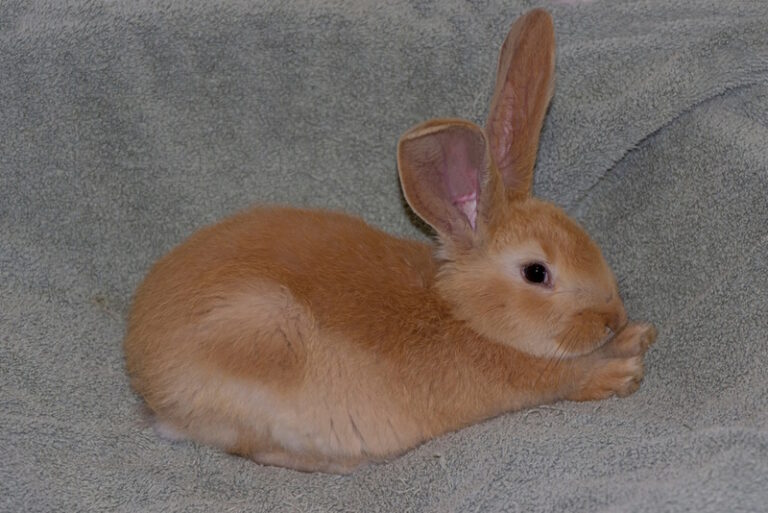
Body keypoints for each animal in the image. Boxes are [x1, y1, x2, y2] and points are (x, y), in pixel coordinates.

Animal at [124, 8, 656, 474]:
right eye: (536, 272)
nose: (612, 317)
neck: (465, 314)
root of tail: (144, 368)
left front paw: (638, 335)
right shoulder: (530, 376)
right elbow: (567, 377)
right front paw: (622, 371)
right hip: (260, 345)